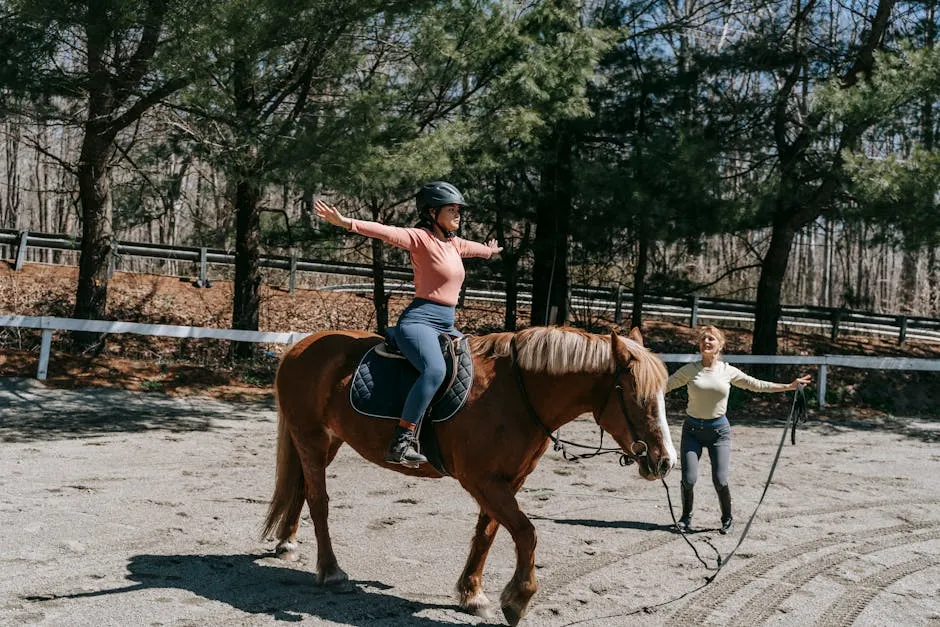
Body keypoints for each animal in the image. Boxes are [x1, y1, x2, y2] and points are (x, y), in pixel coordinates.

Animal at [262, 326, 676, 624]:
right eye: (636, 396)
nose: (665, 461)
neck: (518, 393)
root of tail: (299, 348)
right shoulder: (481, 480)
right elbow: (526, 532)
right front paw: (518, 599)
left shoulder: (506, 480)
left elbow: (488, 533)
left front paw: (472, 593)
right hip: (311, 437)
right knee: (319, 501)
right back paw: (331, 571)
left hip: (327, 442)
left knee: (301, 488)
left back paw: (287, 542)